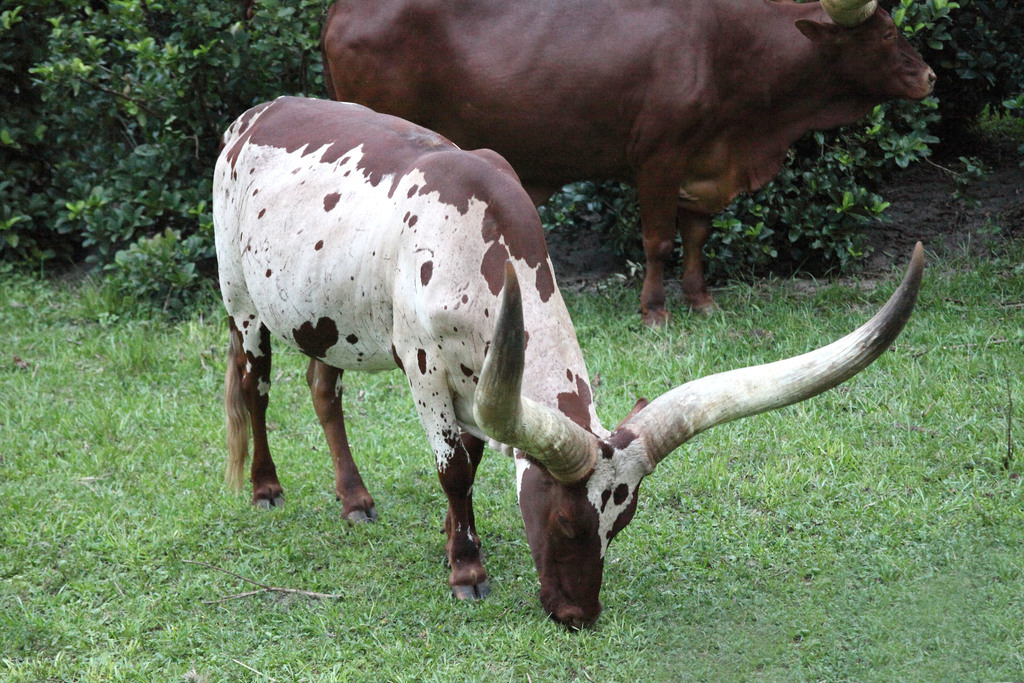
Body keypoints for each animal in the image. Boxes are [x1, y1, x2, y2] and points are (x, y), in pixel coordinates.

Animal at [213, 97, 923, 628]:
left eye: (622, 522)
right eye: (563, 521)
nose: (578, 615)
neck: (475, 244)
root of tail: (255, 113)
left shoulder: (480, 380)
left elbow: (473, 461)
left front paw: (453, 538)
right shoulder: (426, 371)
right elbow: (453, 470)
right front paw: (467, 570)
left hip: (328, 315)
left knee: (322, 386)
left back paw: (354, 498)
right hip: (243, 301)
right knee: (256, 385)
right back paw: (266, 487)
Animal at [319, 0, 935, 326]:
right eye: (886, 32)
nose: (930, 76)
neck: (726, 48)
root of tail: (344, 10)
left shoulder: (702, 164)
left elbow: (697, 235)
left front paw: (700, 299)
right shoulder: (658, 159)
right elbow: (657, 241)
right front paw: (655, 311)